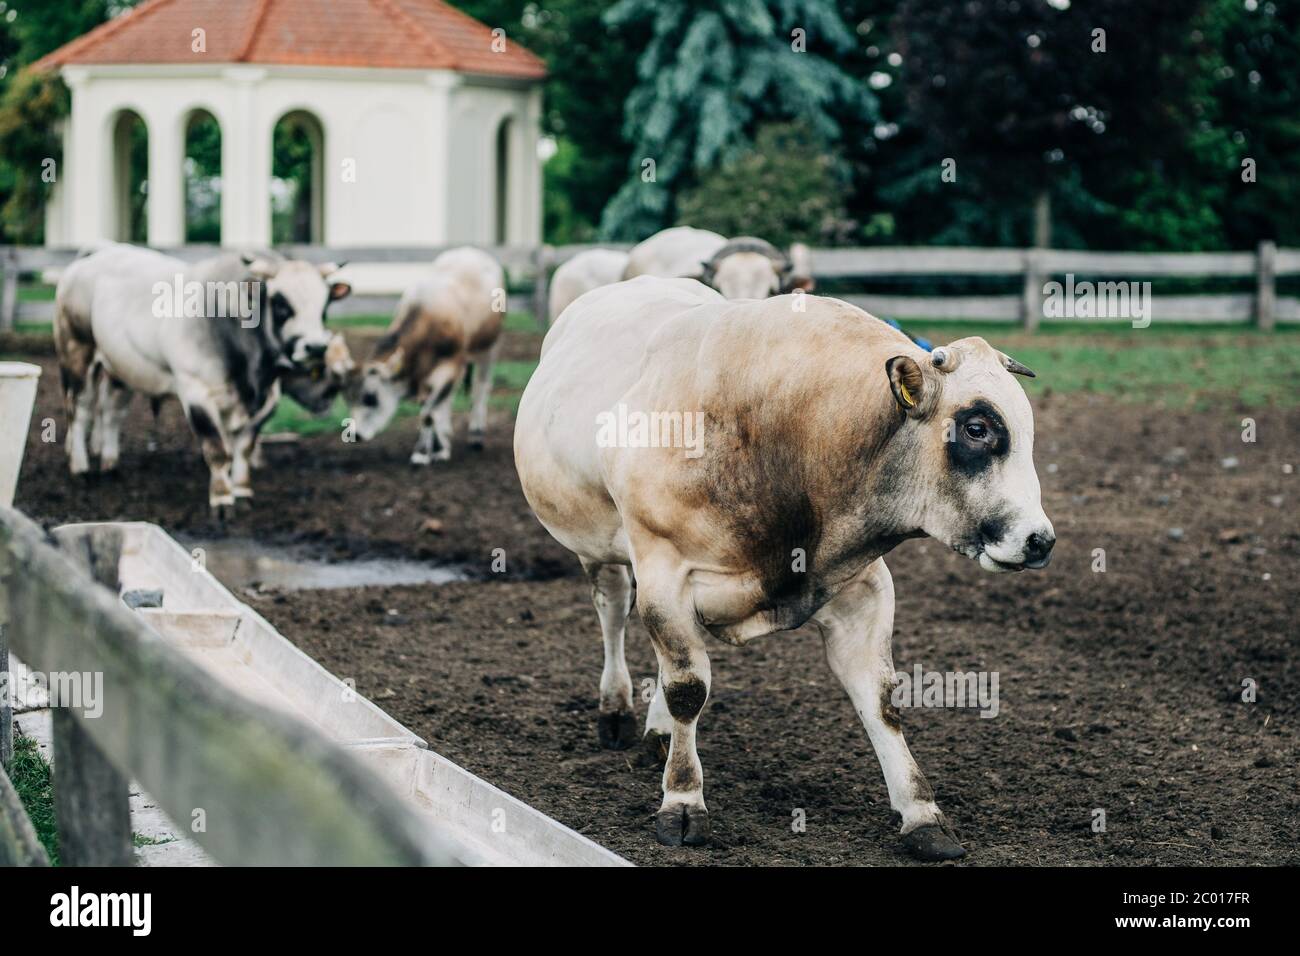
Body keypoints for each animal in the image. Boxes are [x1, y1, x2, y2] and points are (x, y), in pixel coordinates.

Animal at [53, 243, 350, 510]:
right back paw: (80, 468)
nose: (316, 347)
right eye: (280, 303)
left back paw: (110, 464)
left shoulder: (263, 405)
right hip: (76, 352)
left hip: (121, 370)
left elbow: (242, 448)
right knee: (79, 411)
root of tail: (90, 258)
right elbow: (217, 449)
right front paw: (222, 499)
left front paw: (242, 491)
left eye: (325, 306)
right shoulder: (197, 394)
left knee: (112, 412)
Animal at [349, 247, 504, 464]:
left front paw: (422, 453)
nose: (354, 434)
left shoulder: (452, 366)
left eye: (371, 398)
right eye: (349, 397)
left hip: (490, 346)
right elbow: (431, 409)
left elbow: (428, 414)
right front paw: (439, 447)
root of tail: (469, 251)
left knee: (480, 388)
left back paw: (476, 435)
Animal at [514, 276, 1054, 860]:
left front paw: (922, 815)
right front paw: (682, 801)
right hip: (599, 545)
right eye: (977, 428)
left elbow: (881, 699)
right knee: (614, 612)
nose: (1040, 540)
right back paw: (615, 711)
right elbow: (688, 689)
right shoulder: (664, 569)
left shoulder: (862, 587)